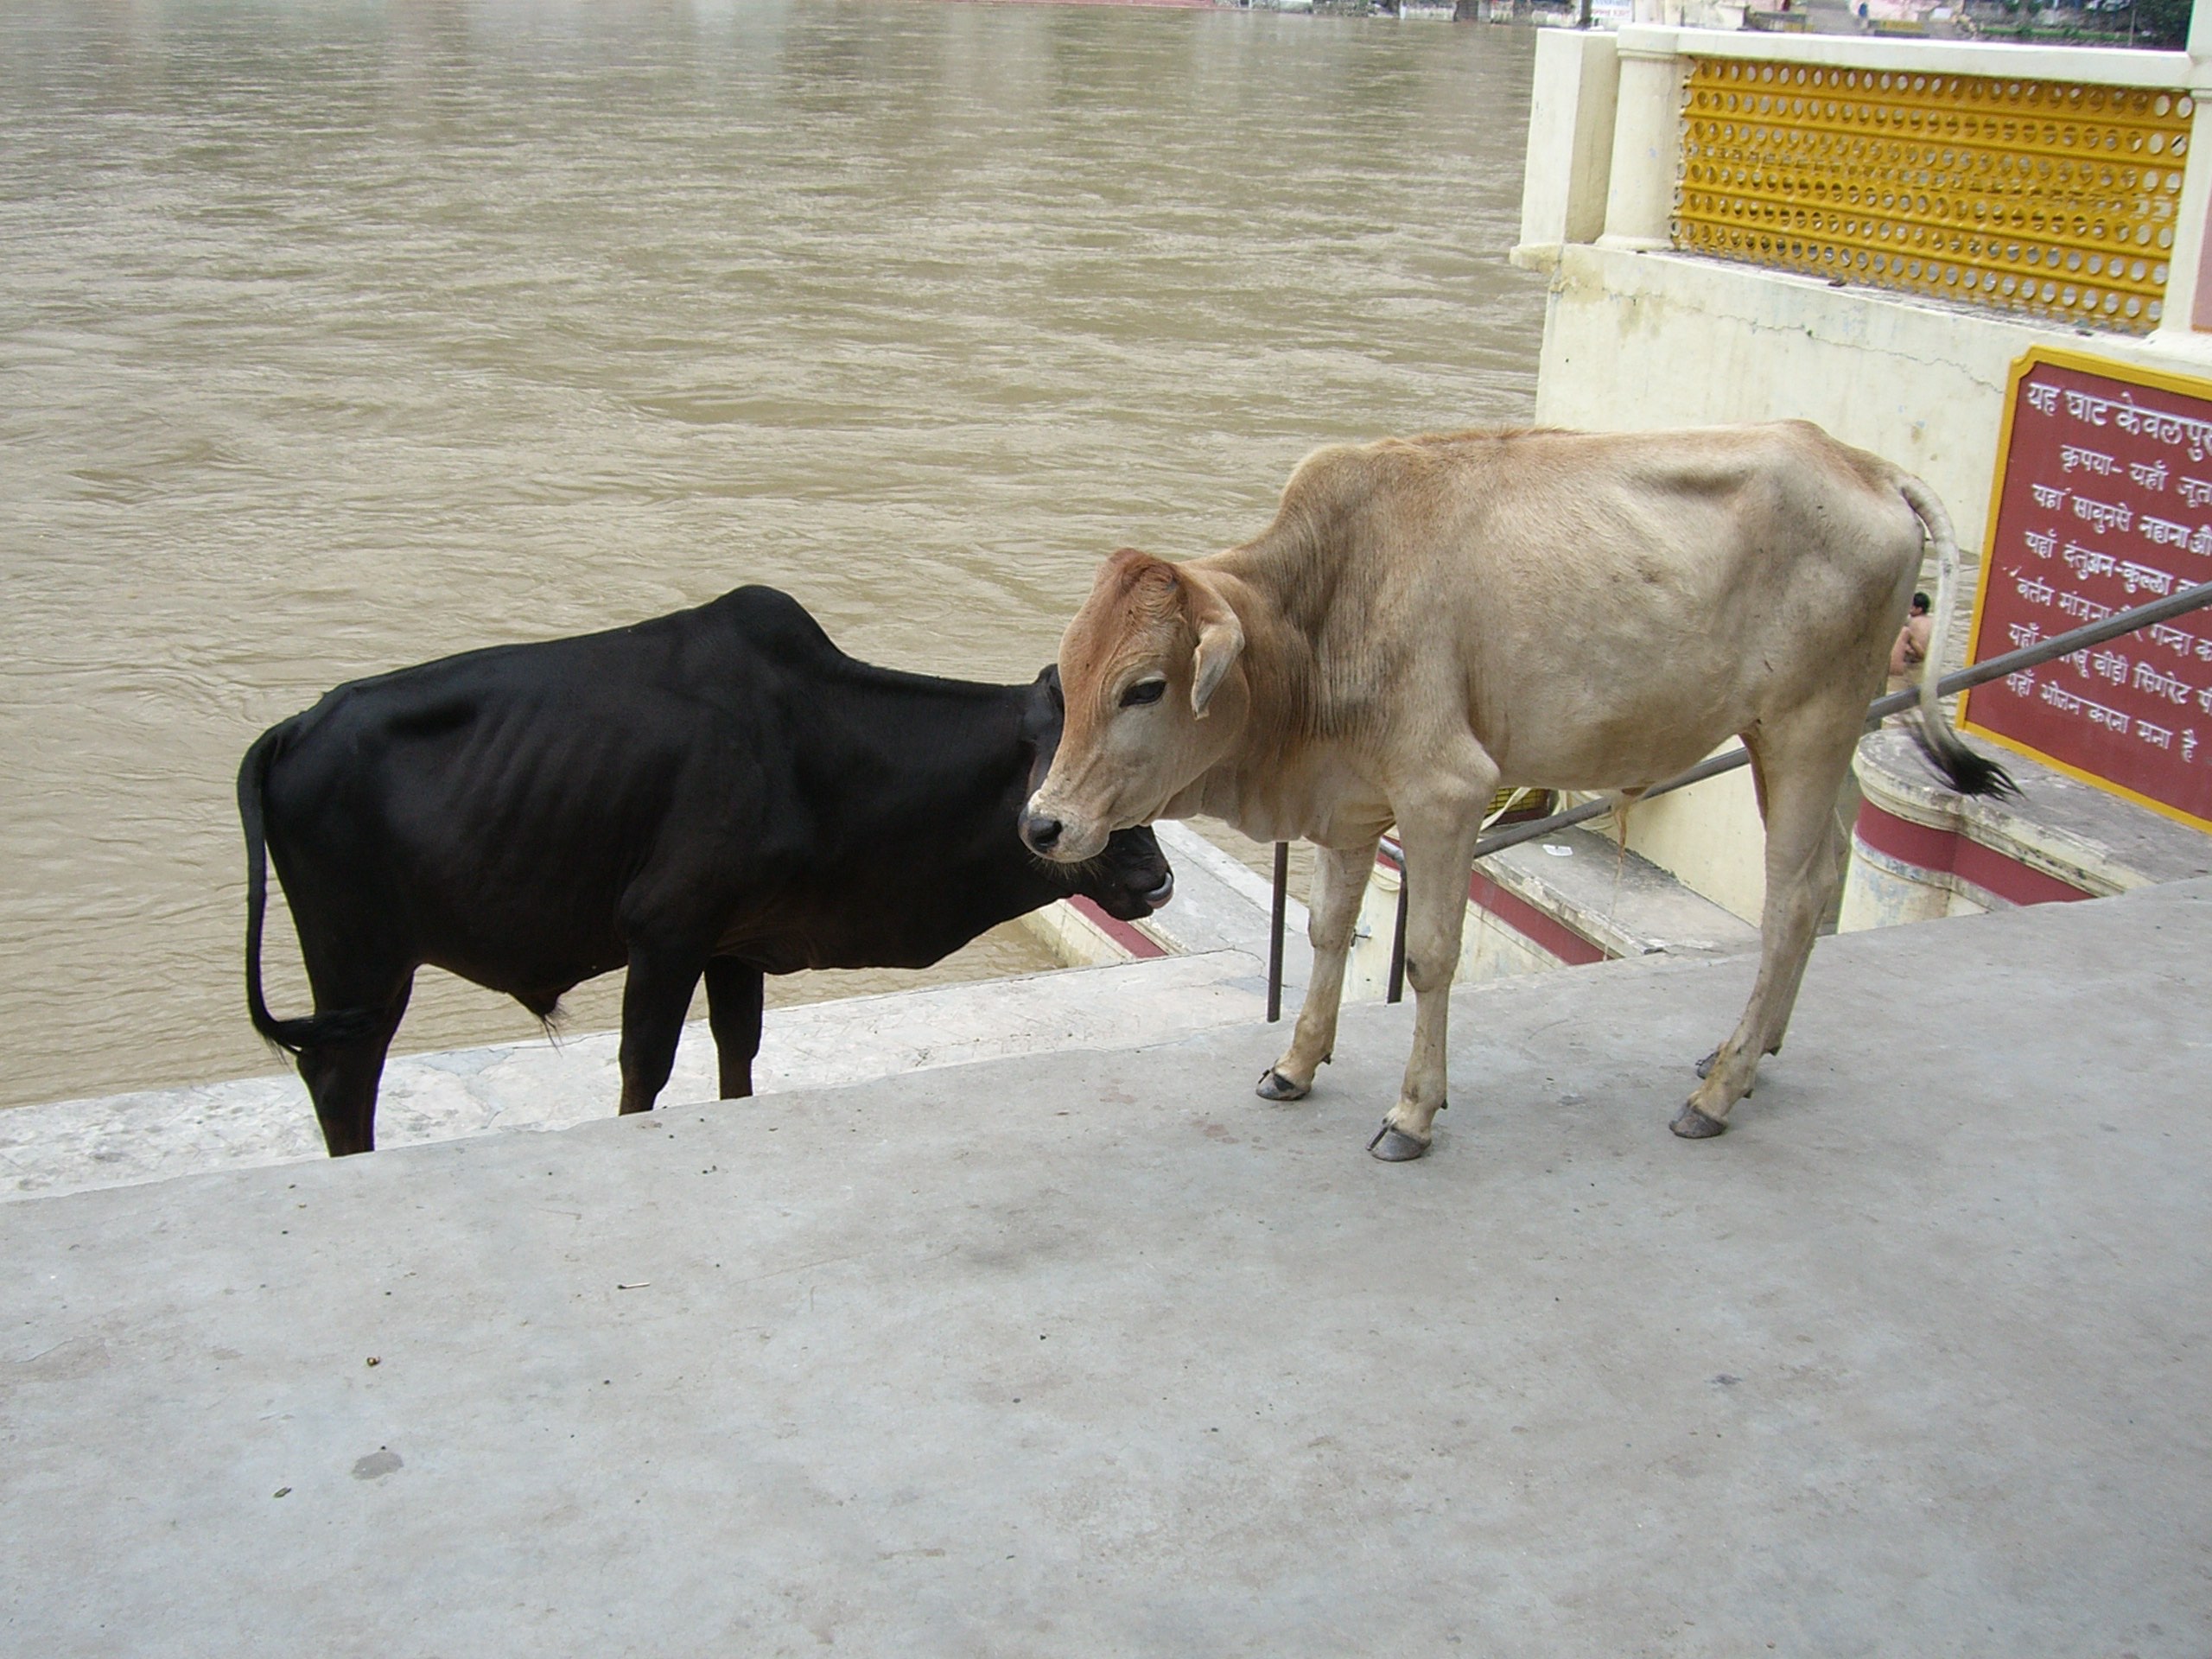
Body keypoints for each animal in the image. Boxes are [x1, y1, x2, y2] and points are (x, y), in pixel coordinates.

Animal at [239, 585, 1174, 1157]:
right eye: (1067, 760)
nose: (1159, 882)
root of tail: (290, 728)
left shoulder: (734, 943)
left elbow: (738, 1054)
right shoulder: (665, 932)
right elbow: (644, 1067)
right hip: (362, 960)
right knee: (340, 1076)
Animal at [1020, 422, 2015, 1161]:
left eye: (1145, 687)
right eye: (1072, 670)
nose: (1043, 824)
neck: (1320, 614)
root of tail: (1865, 465)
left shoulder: (1444, 795)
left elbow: (1429, 955)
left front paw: (1413, 1113)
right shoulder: (1349, 810)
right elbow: (1328, 932)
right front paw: (1296, 1064)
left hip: (1809, 725)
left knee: (1796, 897)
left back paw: (1718, 1091)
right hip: (1813, 737)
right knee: (1833, 862)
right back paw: (1755, 1047)